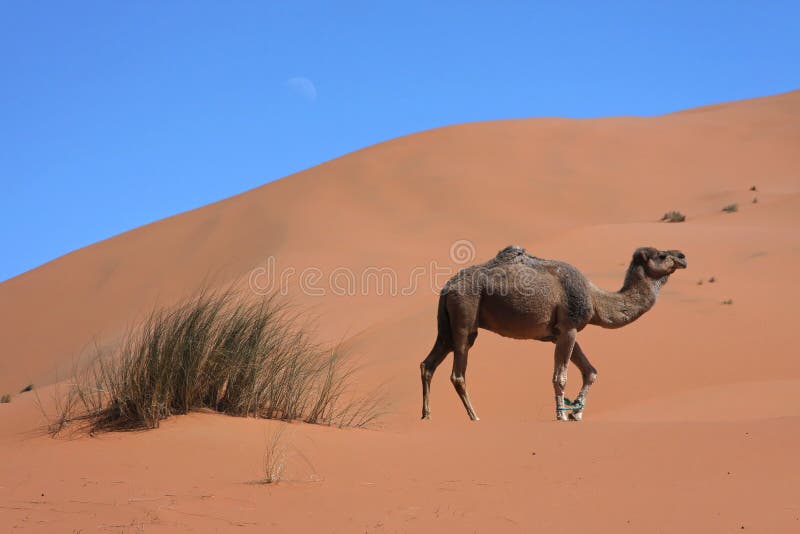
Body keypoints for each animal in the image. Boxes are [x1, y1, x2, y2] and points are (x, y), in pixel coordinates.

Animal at [420, 245, 687, 421]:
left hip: (447, 324)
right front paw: (562, 416)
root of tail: (447, 286)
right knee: (458, 373)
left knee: (428, 364)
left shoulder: (561, 332)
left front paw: (577, 411)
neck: (595, 300)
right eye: (662, 255)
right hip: (465, 314)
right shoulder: (569, 327)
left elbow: (591, 371)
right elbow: (560, 377)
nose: (683, 257)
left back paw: (426, 415)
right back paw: (474, 417)